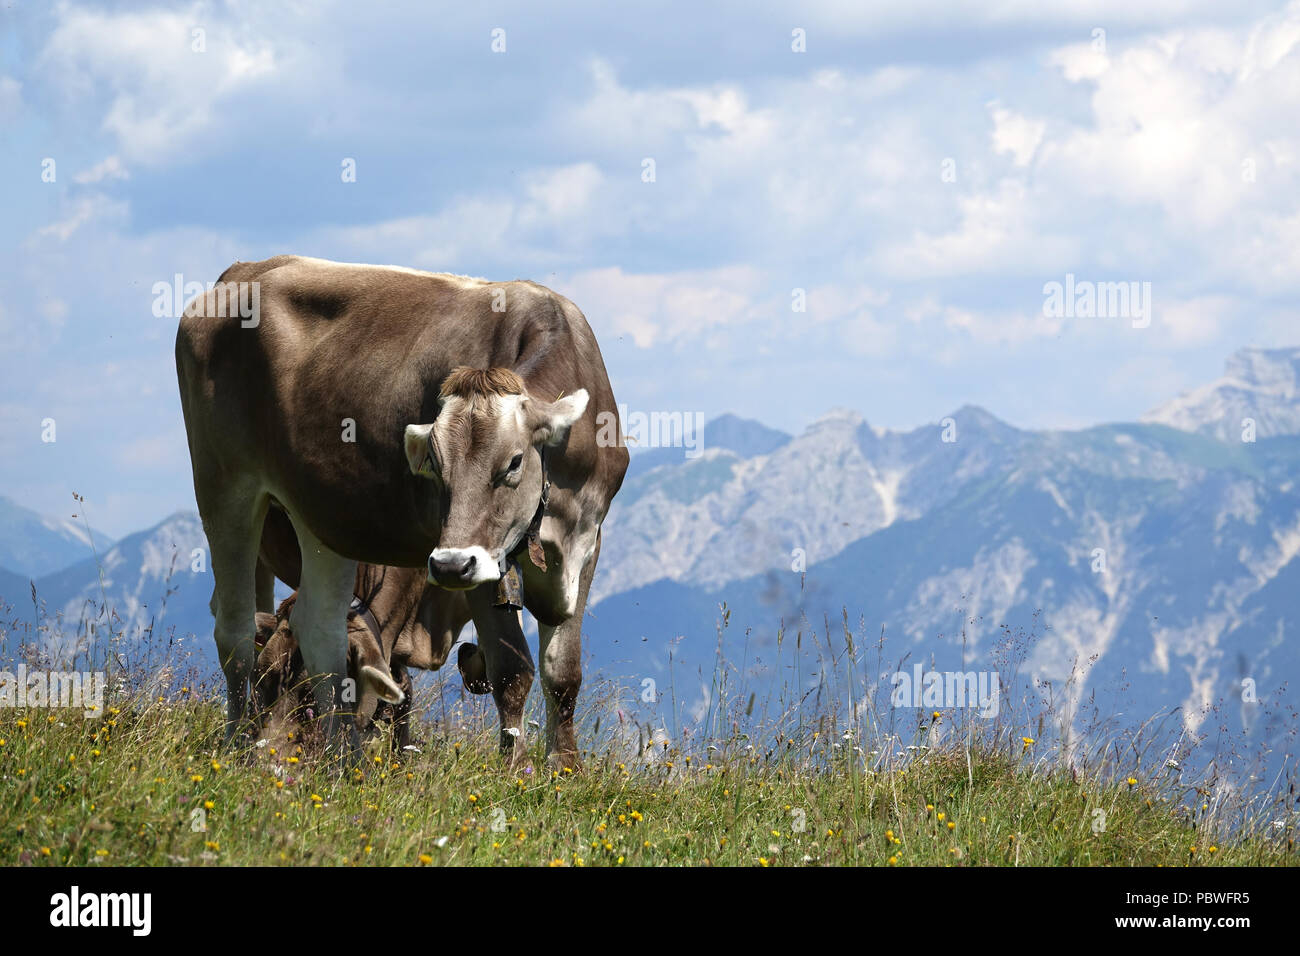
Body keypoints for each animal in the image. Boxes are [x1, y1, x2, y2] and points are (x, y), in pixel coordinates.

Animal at [176, 255, 628, 769]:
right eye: (433, 462)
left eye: (513, 462)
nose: (449, 564)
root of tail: (245, 270)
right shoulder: (477, 564)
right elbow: (511, 670)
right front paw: (516, 769)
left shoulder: (586, 540)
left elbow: (563, 674)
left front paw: (564, 768)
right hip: (224, 485)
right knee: (234, 630)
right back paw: (238, 745)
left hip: (320, 518)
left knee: (317, 629)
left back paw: (340, 757)